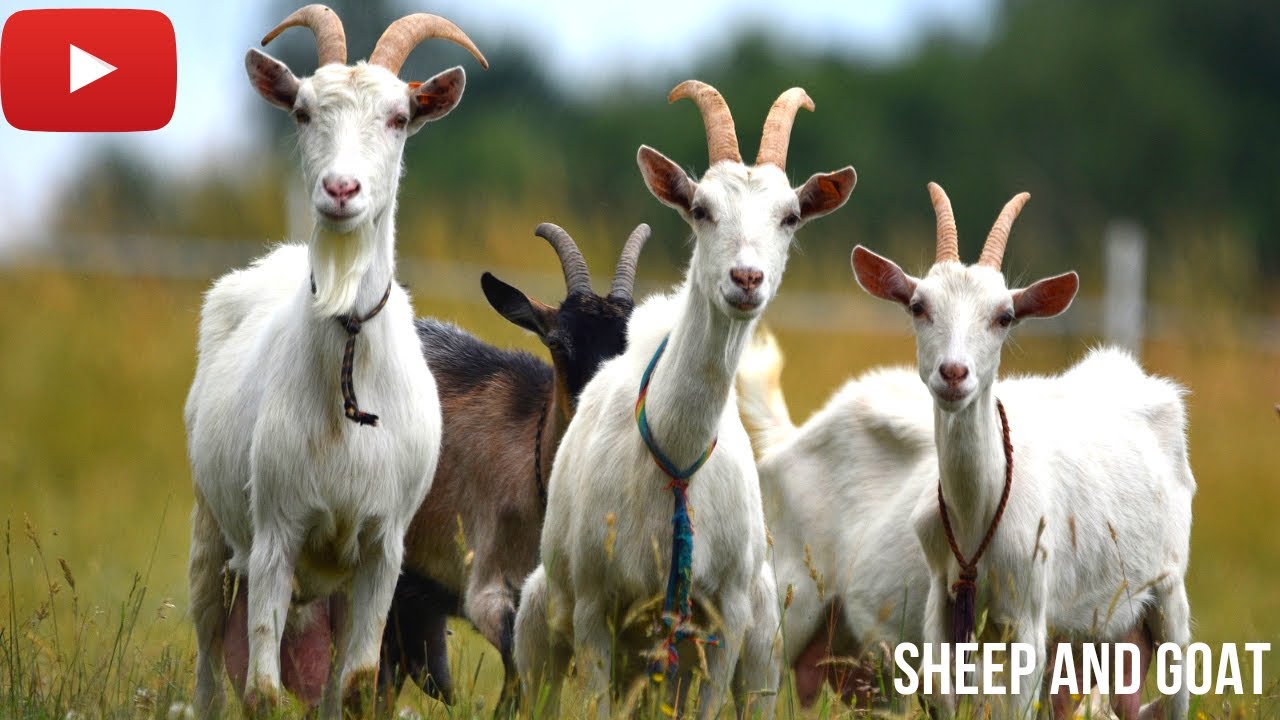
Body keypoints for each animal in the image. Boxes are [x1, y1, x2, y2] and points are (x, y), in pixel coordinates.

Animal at [183, 5, 486, 716]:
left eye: (400, 116)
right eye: (301, 111)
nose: (341, 188)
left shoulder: (382, 549)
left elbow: (353, 685)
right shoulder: (276, 532)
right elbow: (263, 691)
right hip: (212, 532)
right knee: (209, 660)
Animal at [513, 80, 857, 718]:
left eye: (790, 216)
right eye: (701, 209)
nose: (746, 279)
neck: (674, 460)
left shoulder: (726, 619)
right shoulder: (595, 611)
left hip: (755, 642)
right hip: (545, 625)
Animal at [850, 183, 1194, 719]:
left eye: (1004, 316)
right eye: (918, 306)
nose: (954, 373)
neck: (977, 515)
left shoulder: (1028, 609)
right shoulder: (944, 603)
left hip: (1168, 587)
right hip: (1094, 628)